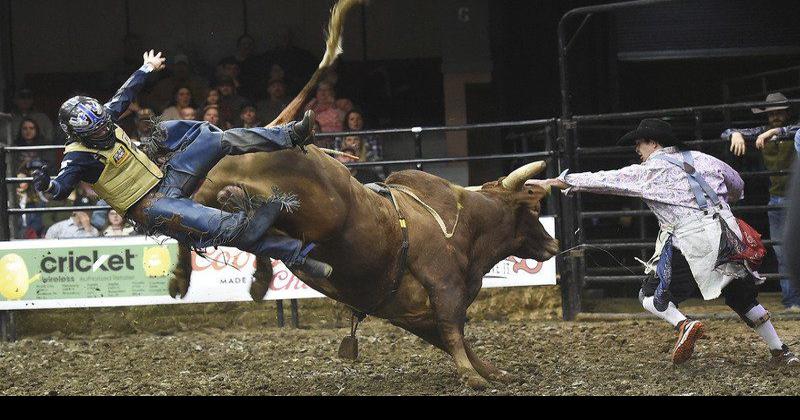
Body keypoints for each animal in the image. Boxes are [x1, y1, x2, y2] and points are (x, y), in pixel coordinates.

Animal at [164, 0, 559, 389]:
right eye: (533, 210)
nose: (554, 244)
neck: (466, 226)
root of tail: (277, 127)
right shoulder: (444, 288)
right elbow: (454, 331)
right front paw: (473, 375)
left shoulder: (413, 315)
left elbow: (454, 340)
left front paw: (494, 372)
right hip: (319, 214)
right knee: (246, 215)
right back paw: (236, 226)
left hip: (212, 188)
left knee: (190, 216)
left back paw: (205, 275)